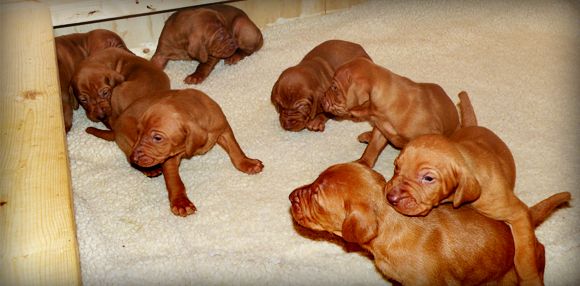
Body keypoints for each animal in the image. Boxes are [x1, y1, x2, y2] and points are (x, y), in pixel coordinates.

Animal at [88, 89, 262, 217]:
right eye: (139, 132)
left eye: (157, 137)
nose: (135, 157)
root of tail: (115, 128)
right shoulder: (169, 159)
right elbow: (174, 181)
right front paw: (181, 202)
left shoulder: (223, 129)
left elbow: (235, 149)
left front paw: (247, 163)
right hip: (128, 141)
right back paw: (148, 170)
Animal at [382, 125, 568, 286]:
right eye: (396, 167)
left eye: (428, 178)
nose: (391, 197)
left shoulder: (518, 213)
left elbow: (524, 254)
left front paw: (530, 280)